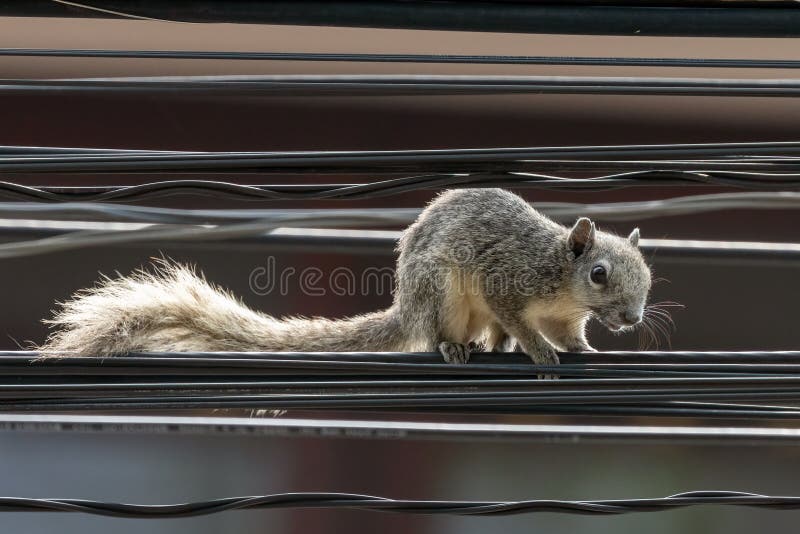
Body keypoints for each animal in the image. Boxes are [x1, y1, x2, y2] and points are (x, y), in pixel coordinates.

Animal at [39, 188, 652, 367]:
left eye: (647, 278)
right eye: (599, 274)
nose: (633, 318)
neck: (562, 282)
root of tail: (406, 306)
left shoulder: (566, 314)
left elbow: (570, 335)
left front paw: (582, 349)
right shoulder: (510, 277)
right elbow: (518, 319)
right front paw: (540, 350)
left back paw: (490, 346)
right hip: (441, 292)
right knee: (440, 331)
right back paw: (455, 346)